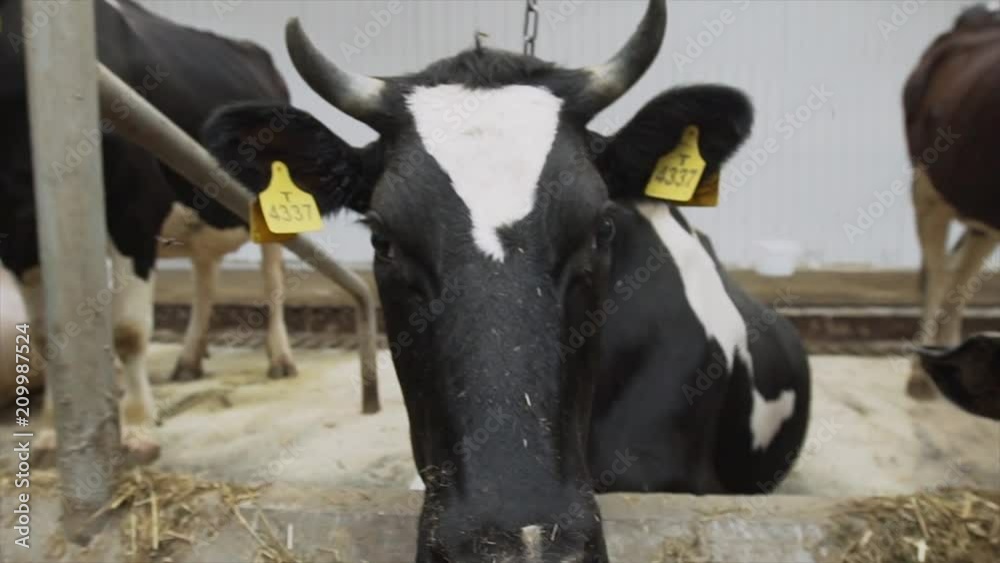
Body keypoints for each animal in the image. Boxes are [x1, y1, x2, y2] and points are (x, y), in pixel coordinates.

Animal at [0, 0, 296, 461]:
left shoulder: (135, 207)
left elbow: (129, 331)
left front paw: (137, 427)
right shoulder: (15, 233)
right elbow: (47, 339)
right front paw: (50, 432)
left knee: (272, 279)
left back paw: (279, 358)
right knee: (205, 278)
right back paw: (190, 358)